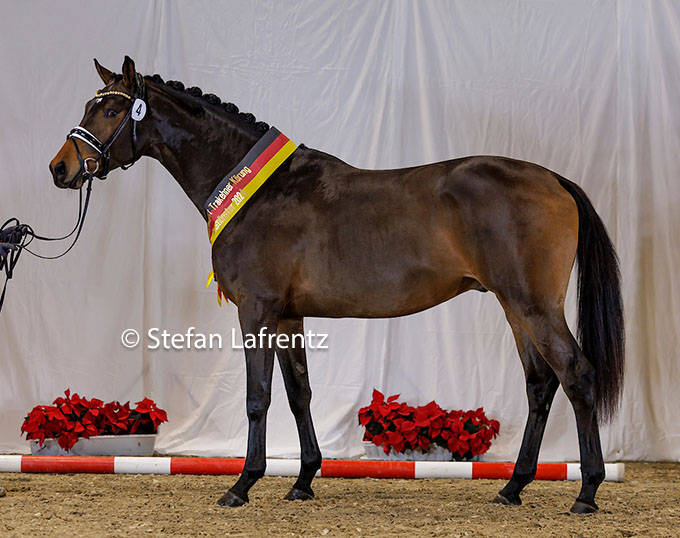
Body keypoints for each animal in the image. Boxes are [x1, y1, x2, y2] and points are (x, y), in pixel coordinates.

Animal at [49, 57, 624, 514]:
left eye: (110, 111)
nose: (60, 168)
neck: (260, 192)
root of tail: (554, 179)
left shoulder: (255, 311)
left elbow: (258, 396)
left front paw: (241, 485)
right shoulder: (287, 315)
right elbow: (299, 393)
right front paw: (303, 480)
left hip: (533, 305)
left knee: (576, 374)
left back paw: (587, 492)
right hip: (514, 307)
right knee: (540, 385)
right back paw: (512, 488)